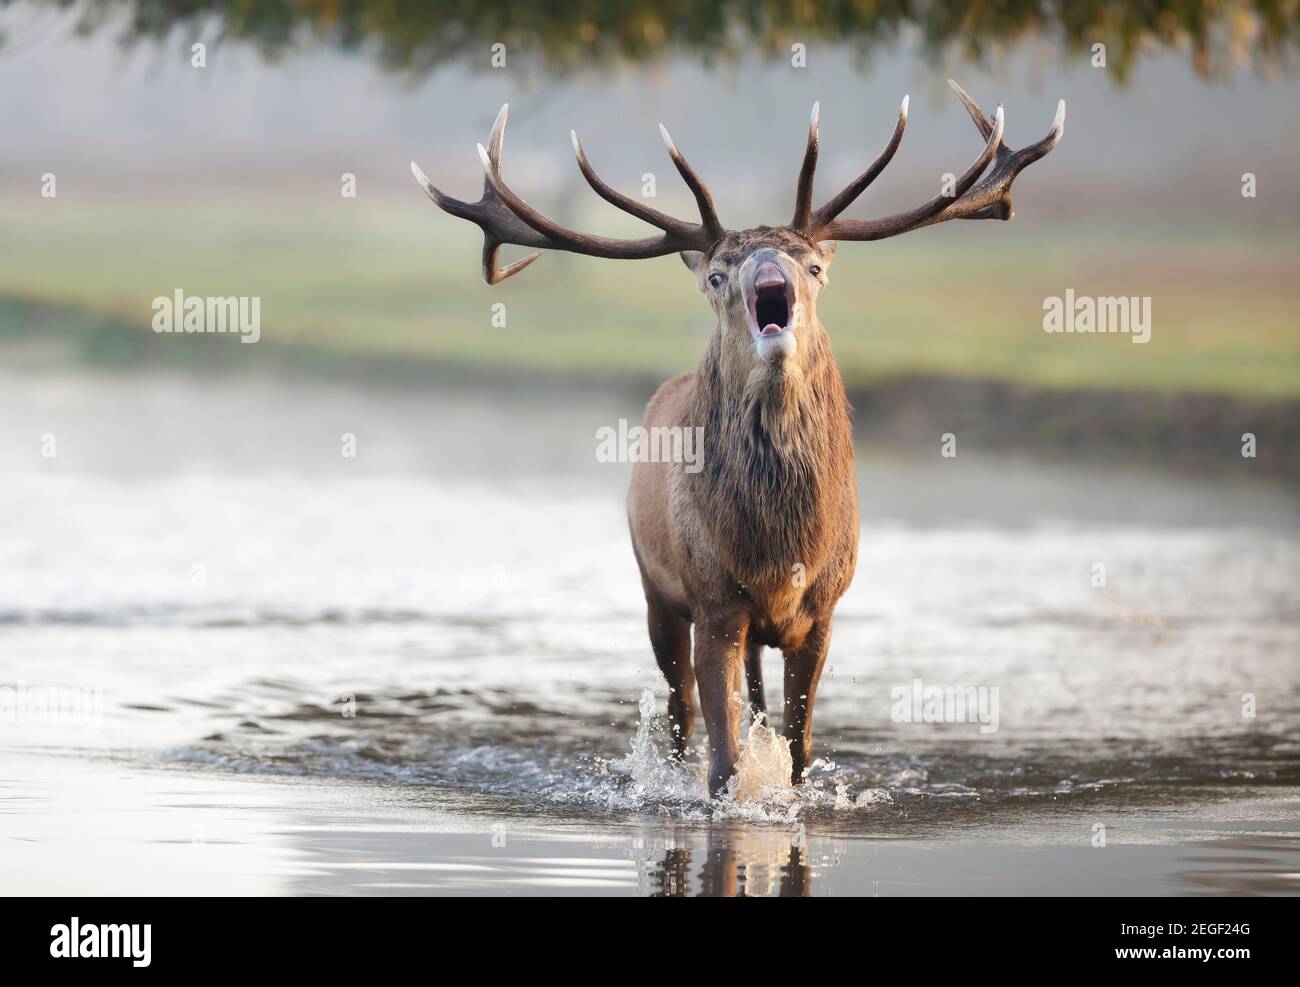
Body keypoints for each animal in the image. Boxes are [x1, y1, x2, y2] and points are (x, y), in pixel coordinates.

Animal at [412, 81, 1065, 797]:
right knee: (680, 713)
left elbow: (800, 750)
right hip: (655, 589)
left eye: (814, 265)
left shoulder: (824, 609)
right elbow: (721, 761)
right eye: (718, 274)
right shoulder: (714, 603)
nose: (768, 268)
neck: (780, 548)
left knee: (756, 708)